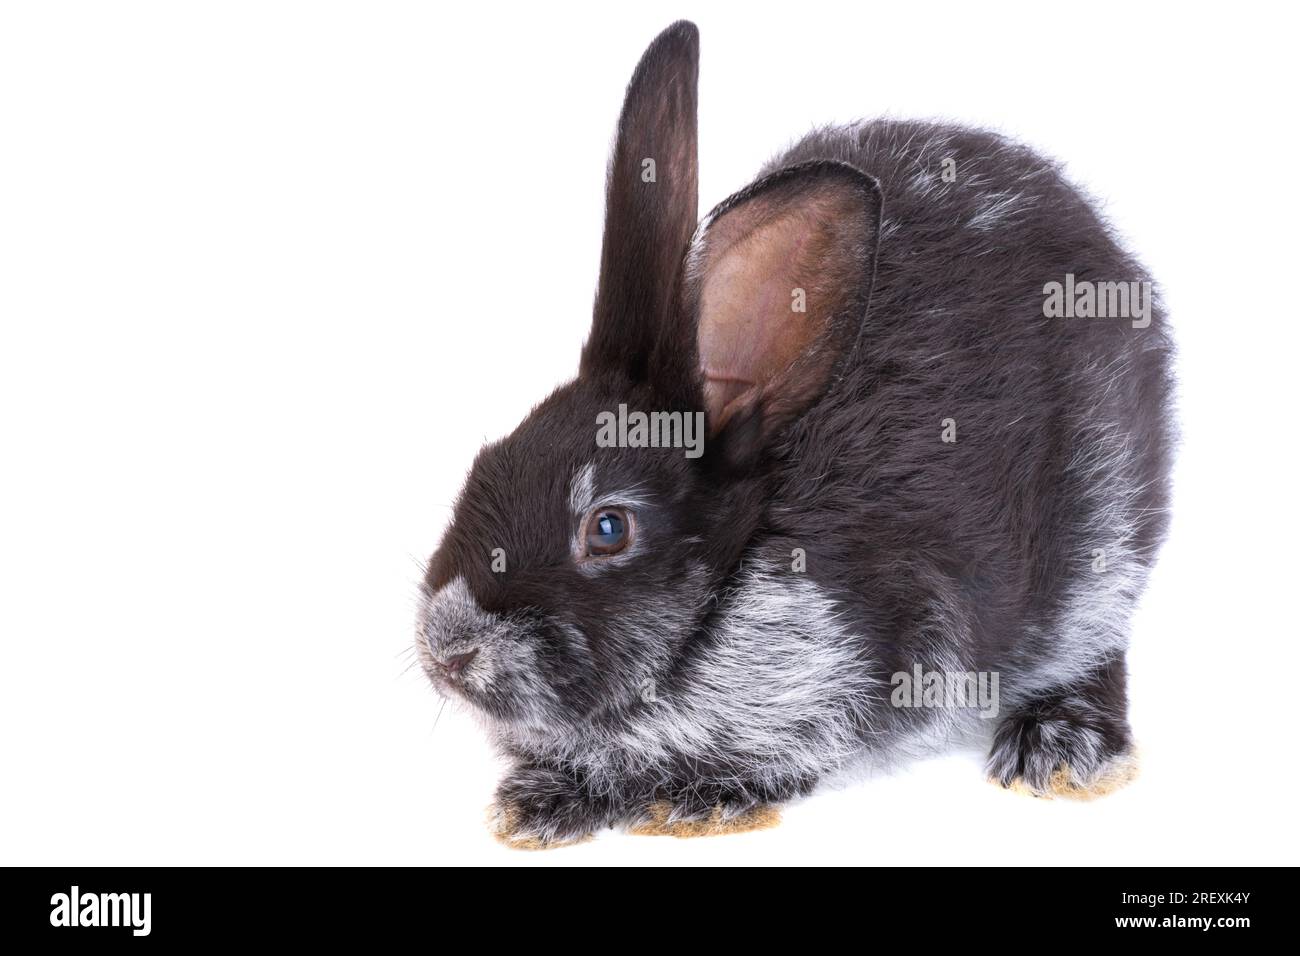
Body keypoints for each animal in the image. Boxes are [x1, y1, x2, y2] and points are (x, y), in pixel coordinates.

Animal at [416, 20, 1174, 847]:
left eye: (609, 527)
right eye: (483, 465)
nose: (448, 651)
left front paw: (706, 800)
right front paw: (539, 801)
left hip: (1101, 548)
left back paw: (1061, 747)